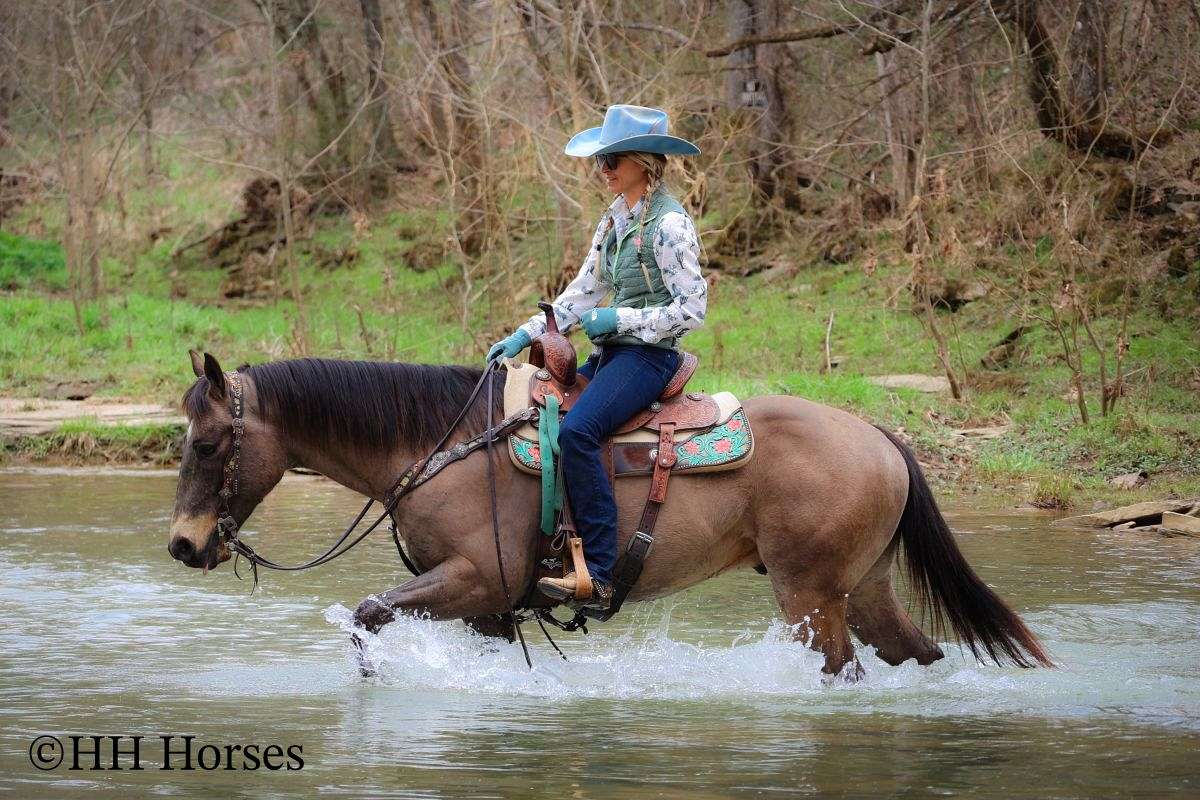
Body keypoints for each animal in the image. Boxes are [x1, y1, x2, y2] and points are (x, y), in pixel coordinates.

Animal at [169, 350, 1051, 678]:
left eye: (209, 443)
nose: (182, 545)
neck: (440, 444)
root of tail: (878, 438)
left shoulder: (477, 579)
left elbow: (368, 612)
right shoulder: (490, 606)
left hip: (809, 593)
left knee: (843, 667)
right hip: (864, 587)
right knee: (918, 654)